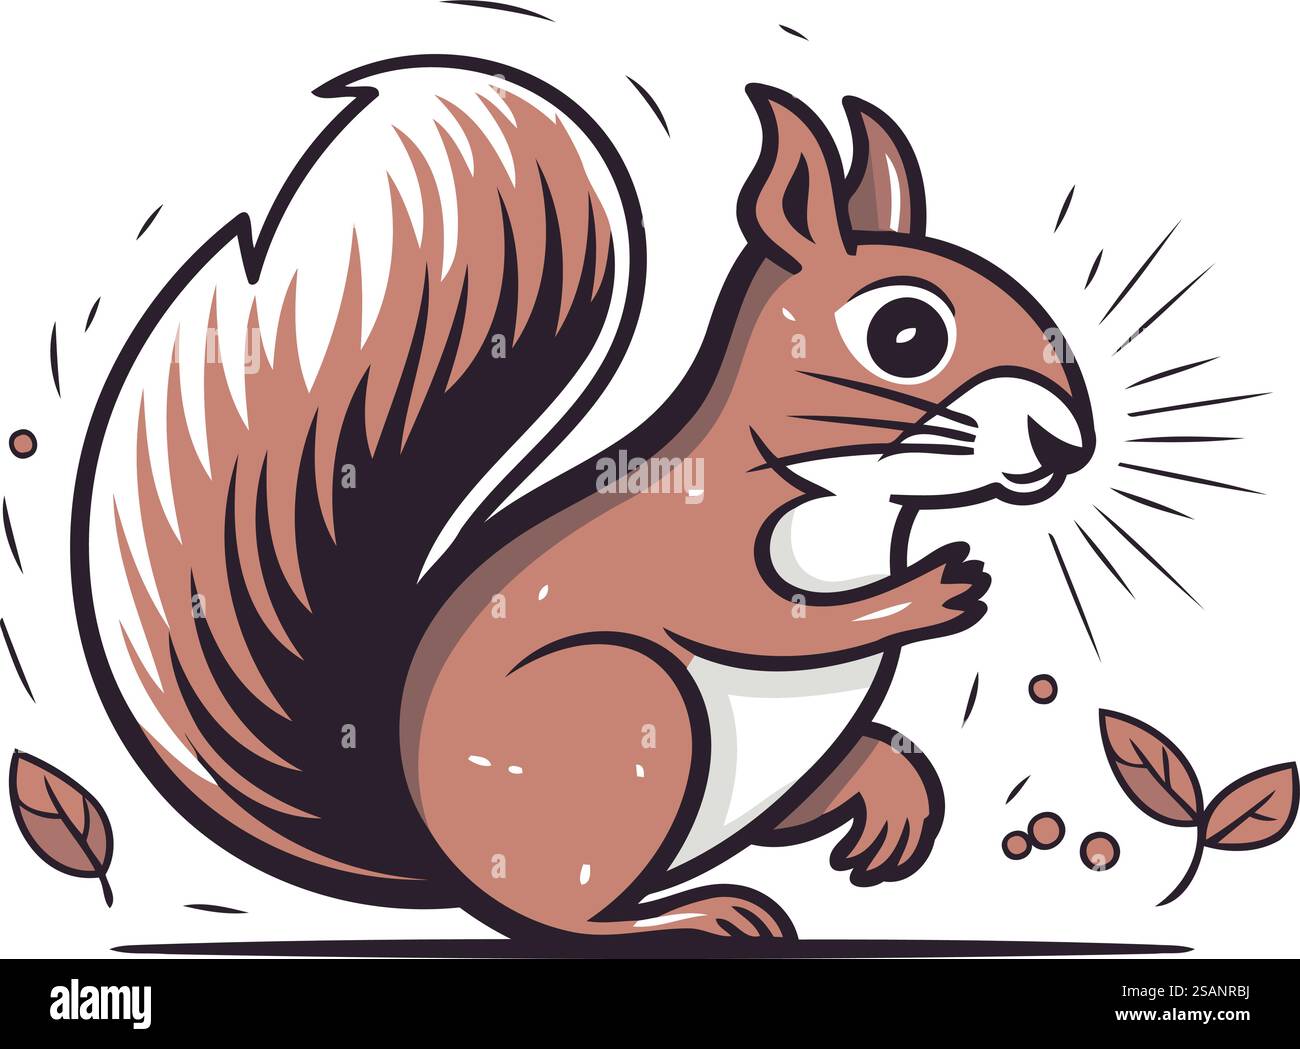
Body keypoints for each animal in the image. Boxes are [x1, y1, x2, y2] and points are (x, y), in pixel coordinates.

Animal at [74, 57, 1094, 941]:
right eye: (906, 332)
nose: (1066, 445)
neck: (859, 502)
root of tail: (439, 856)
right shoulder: (699, 547)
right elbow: (766, 623)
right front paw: (932, 592)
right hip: (629, 710)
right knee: (561, 916)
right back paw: (695, 914)